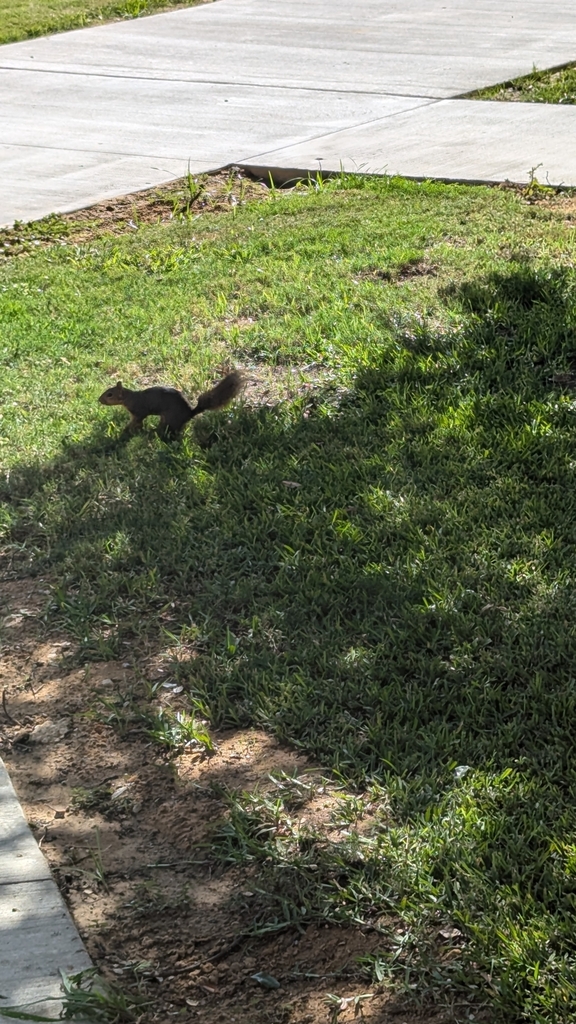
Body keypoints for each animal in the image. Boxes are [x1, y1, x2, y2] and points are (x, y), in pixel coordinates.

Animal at [98, 370, 244, 436]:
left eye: (110, 394)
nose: (99, 400)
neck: (129, 398)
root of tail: (189, 414)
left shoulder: (139, 411)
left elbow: (137, 420)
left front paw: (127, 429)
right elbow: (137, 422)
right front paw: (134, 429)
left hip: (169, 419)